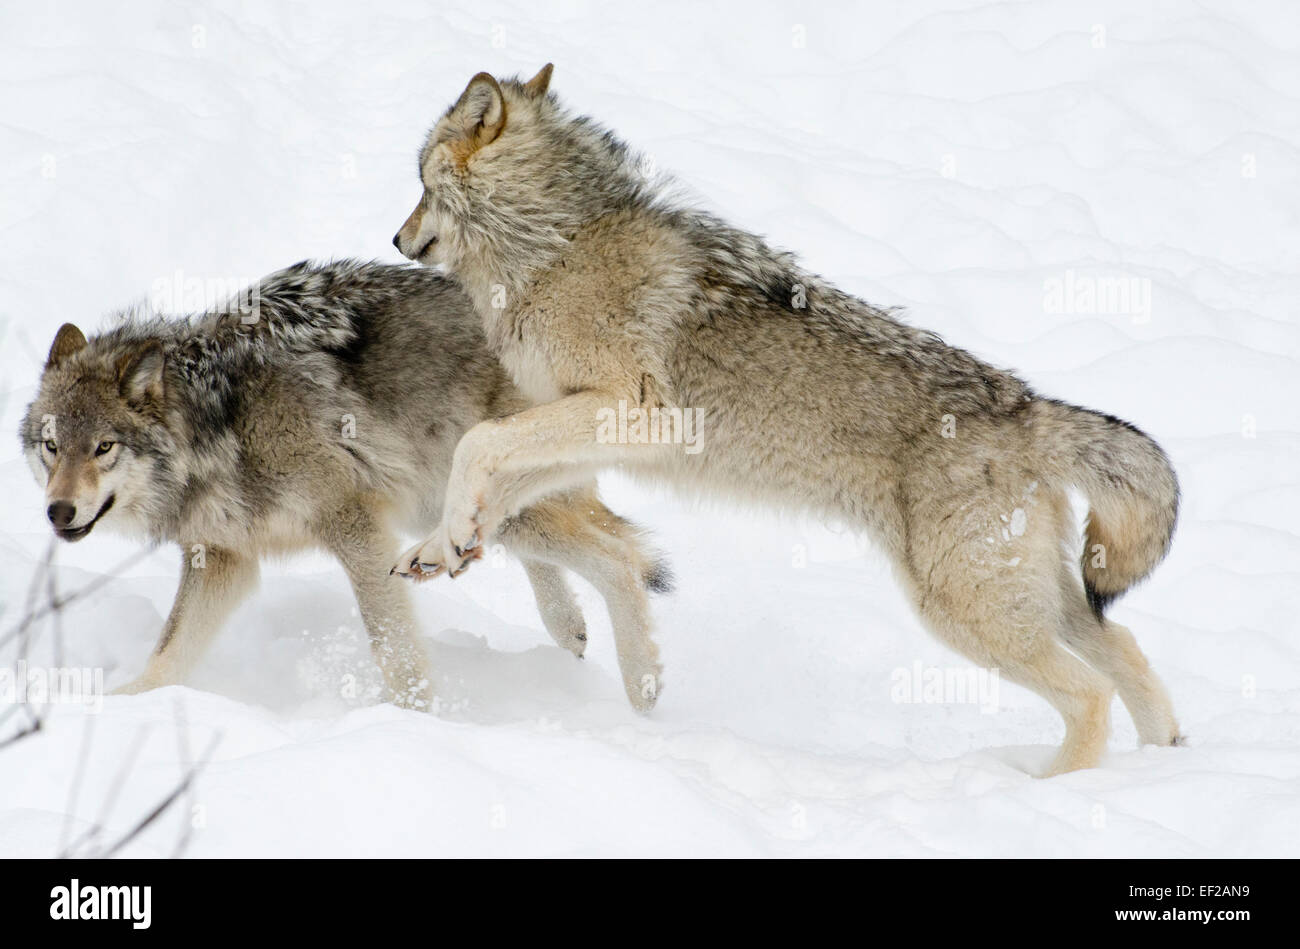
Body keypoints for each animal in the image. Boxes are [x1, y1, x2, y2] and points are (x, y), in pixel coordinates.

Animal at [20, 260, 670, 711]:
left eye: (104, 448)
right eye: (52, 446)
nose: (57, 511)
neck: (222, 423)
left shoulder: (355, 526)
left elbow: (393, 646)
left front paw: (414, 718)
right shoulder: (223, 558)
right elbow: (169, 652)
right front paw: (122, 706)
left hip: (494, 503)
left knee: (620, 557)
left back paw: (642, 693)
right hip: (456, 507)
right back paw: (568, 628)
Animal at [390, 65, 1182, 774]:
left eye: (421, 185)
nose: (397, 239)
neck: (554, 243)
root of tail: (1030, 407)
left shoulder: (636, 413)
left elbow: (478, 443)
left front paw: (454, 534)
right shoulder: (590, 428)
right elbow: (505, 484)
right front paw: (443, 545)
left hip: (966, 613)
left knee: (1091, 693)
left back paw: (1044, 785)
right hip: (1036, 601)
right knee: (1127, 652)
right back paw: (1161, 765)